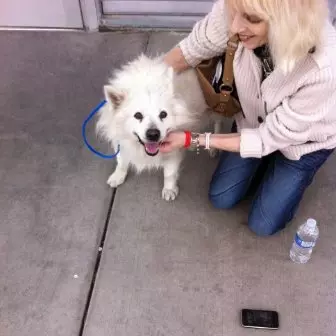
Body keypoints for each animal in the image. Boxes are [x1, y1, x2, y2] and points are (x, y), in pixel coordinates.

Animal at [96, 54, 220, 201]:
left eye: (163, 114)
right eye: (138, 115)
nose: (153, 134)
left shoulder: (173, 150)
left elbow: (169, 173)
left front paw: (169, 189)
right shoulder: (121, 141)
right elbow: (121, 160)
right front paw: (118, 176)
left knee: (218, 124)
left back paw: (213, 148)